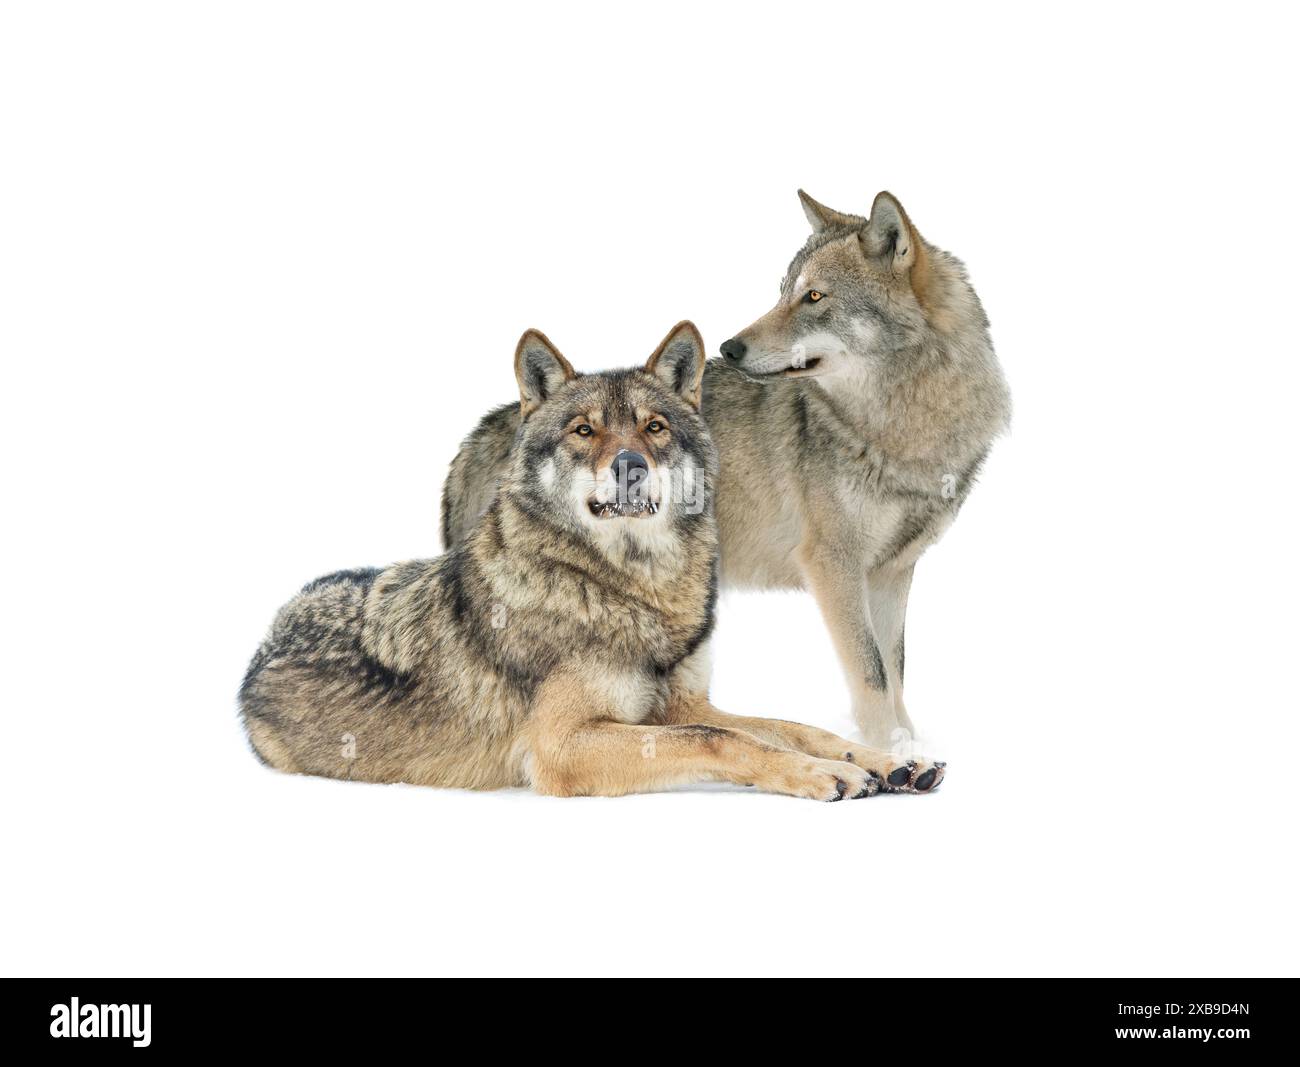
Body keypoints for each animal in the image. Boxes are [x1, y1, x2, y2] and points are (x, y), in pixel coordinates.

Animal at [241, 322, 944, 799]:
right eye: (584, 431)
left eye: (654, 427)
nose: (629, 466)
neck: (630, 587)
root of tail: (264, 639)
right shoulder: (563, 746)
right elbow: (725, 738)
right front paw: (825, 775)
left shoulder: (679, 704)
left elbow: (785, 726)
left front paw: (884, 759)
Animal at [441, 192, 1010, 750]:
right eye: (783, 293)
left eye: (814, 297)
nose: (729, 347)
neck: (903, 429)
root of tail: (482, 434)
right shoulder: (834, 565)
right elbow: (871, 674)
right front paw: (887, 751)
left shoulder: (893, 570)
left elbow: (894, 672)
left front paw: (910, 747)